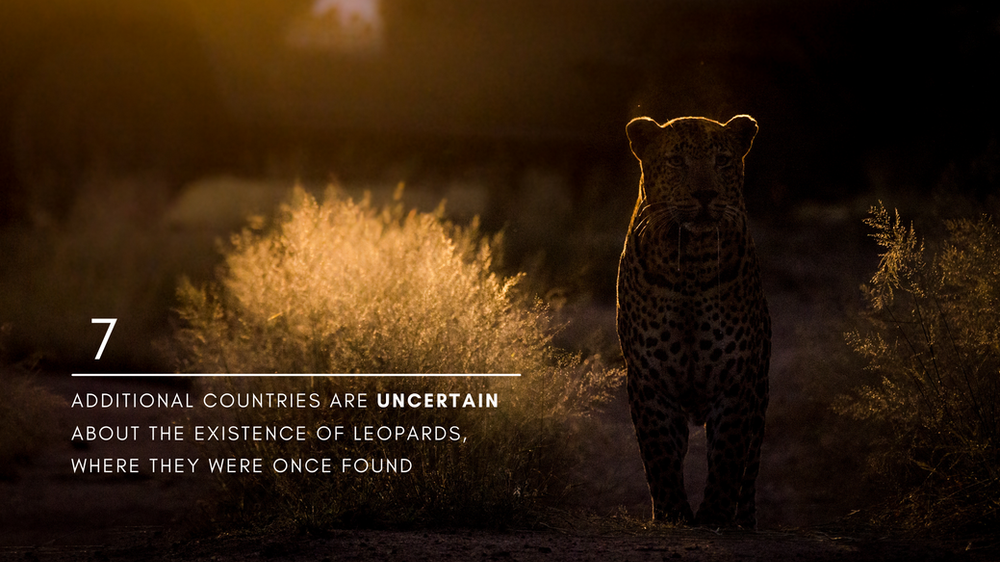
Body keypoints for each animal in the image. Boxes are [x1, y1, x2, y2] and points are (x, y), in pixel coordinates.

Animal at [616, 114, 771, 528]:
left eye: (722, 160)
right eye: (676, 161)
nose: (705, 194)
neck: (690, 263)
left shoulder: (736, 378)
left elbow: (728, 455)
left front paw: (715, 514)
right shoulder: (650, 378)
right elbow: (659, 453)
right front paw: (672, 514)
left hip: (761, 391)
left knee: (751, 465)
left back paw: (743, 520)